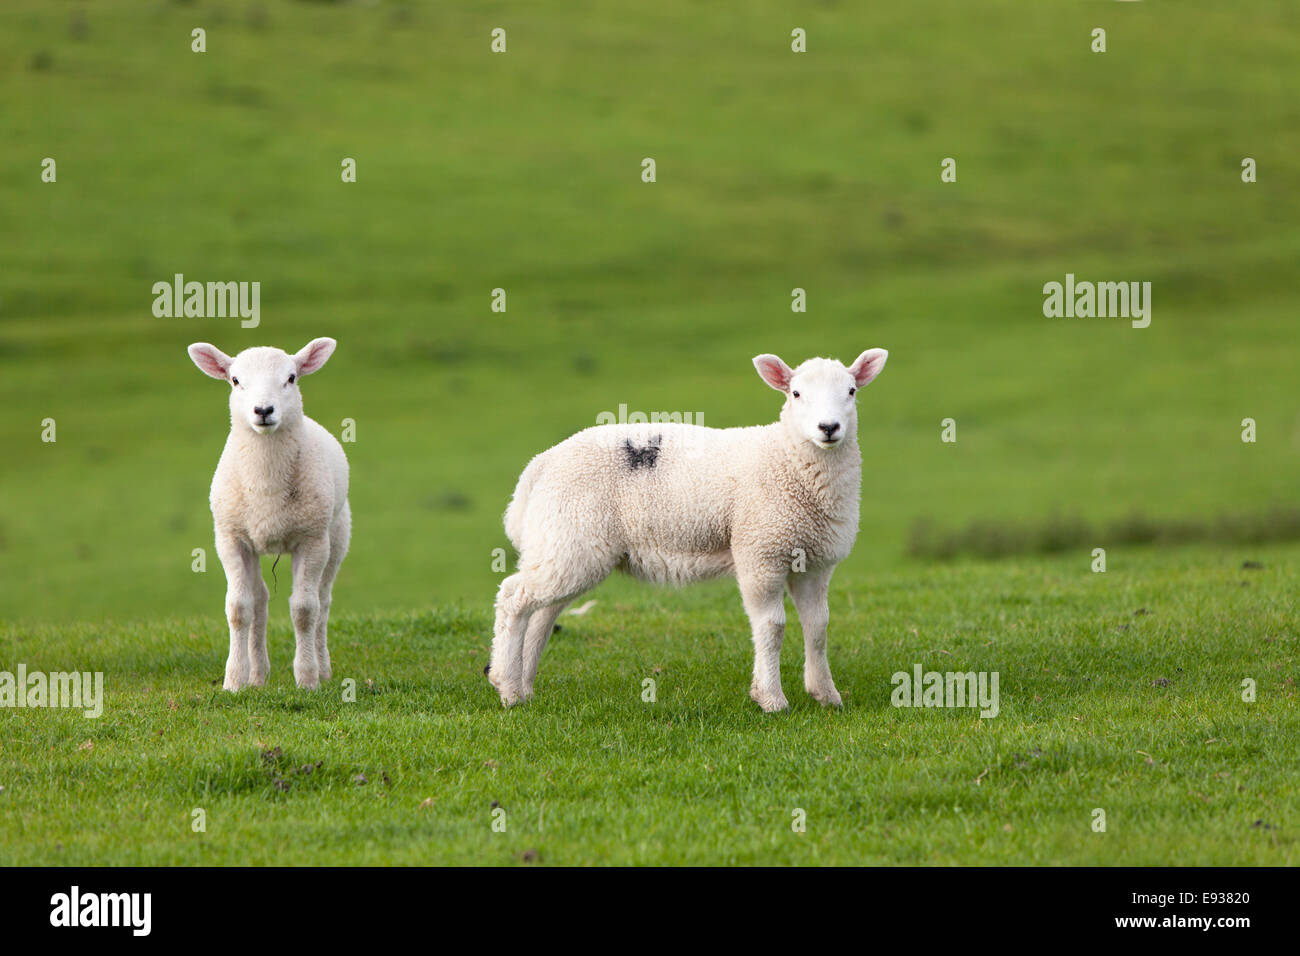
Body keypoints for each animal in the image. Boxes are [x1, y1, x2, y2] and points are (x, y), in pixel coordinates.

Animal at [187, 339, 350, 691]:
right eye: (235, 380)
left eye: (291, 377)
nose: (263, 411)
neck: (266, 487)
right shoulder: (230, 538)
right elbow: (239, 608)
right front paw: (234, 681)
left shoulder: (311, 539)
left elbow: (304, 609)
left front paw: (307, 679)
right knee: (259, 601)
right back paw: (257, 674)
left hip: (337, 535)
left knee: (323, 600)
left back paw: (323, 667)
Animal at [489, 348, 889, 711]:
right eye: (796, 393)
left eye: (851, 390)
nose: (829, 428)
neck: (787, 459)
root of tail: (540, 465)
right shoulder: (760, 551)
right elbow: (772, 627)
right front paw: (771, 699)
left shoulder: (815, 562)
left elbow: (818, 627)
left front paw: (826, 695)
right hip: (571, 536)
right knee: (514, 597)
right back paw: (506, 687)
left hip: (562, 542)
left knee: (543, 613)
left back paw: (524, 687)